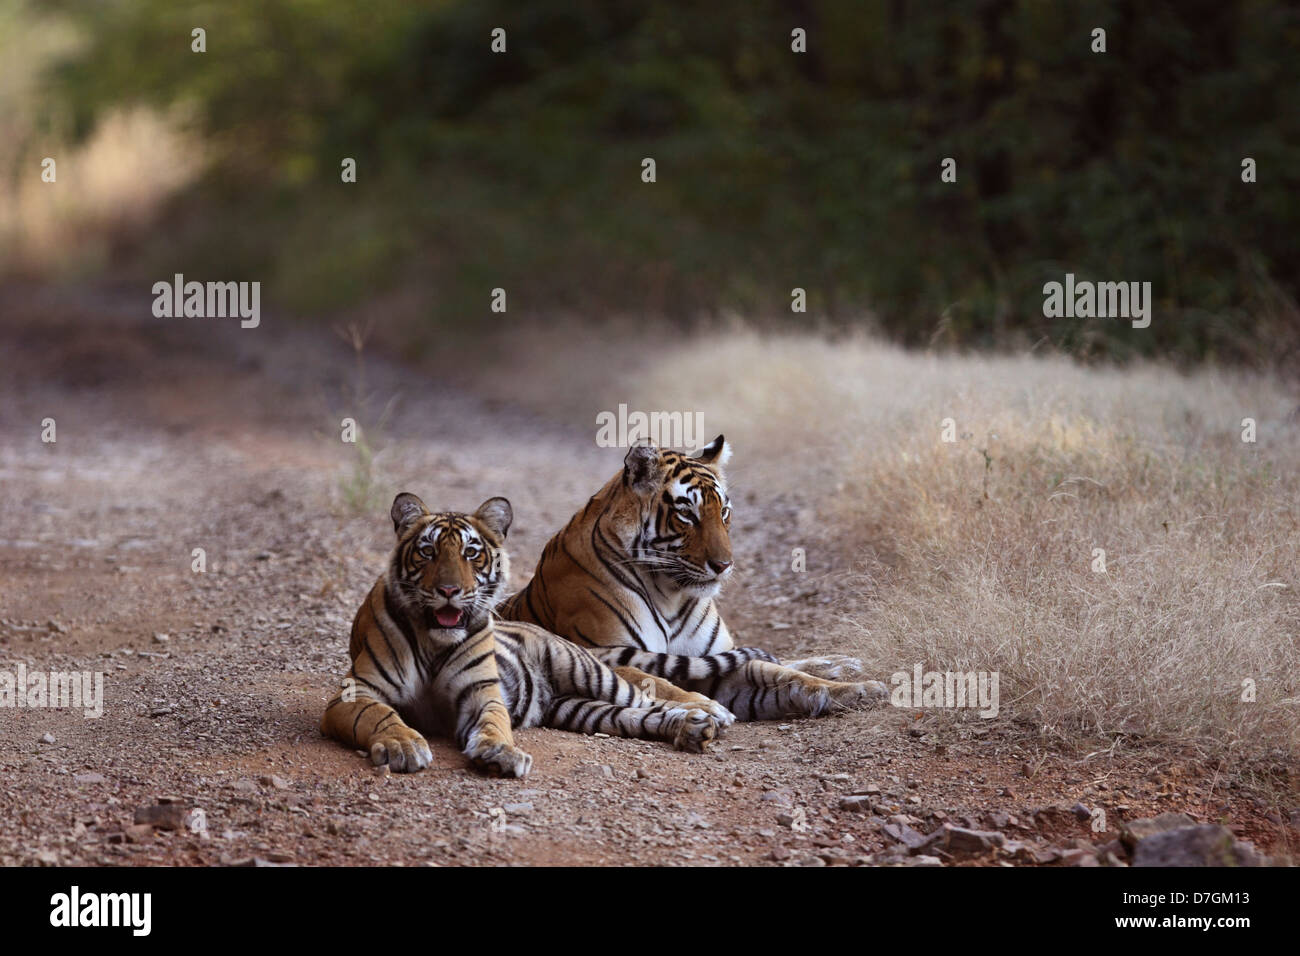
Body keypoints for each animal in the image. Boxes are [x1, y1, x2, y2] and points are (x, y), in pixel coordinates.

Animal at [320, 493, 725, 776]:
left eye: (471, 553)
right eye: (427, 551)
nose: (449, 590)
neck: (435, 641)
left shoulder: (482, 694)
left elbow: (494, 724)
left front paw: (501, 753)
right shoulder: (355, 693)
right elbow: (379, 715)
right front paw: (402, 745)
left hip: (591, 674)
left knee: (646, 696)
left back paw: (705, 715)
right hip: (581, 710)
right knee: (636, 715)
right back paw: (691, 730)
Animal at [498, 435, 889, 721]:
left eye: (725, 512)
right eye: (687, 514)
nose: (724, 564)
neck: (669, 593)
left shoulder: (711, 661)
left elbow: (784, 674)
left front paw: (861, 690)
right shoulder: (605, 652)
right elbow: (649, 681)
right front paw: (705, 706)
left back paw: (841, 665)